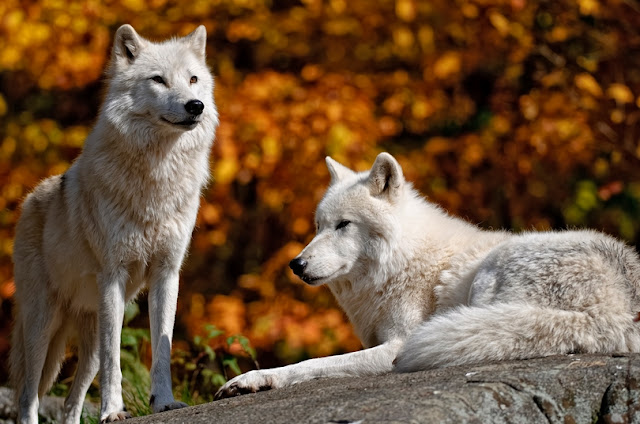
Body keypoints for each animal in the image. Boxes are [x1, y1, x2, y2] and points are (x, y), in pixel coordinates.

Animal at [10, 25, 217, 423]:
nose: (194, 105)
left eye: (193, 79)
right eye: (159, 80)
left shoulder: (167, 274)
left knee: (71, 402)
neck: (156, 178)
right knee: (29, 395)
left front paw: (164, 402)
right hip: (43, 327)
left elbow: (162, 349)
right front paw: (111, 411)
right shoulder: (113, 276)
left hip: (88, 336)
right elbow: (114, 360)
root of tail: (29, 198)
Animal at [216, 152, 640, 398]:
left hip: (489, 276)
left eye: (343, 225)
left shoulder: (395, 345)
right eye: (319, 226)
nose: (296, 264)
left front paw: (256, 379)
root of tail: (616, 313)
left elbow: (314, 364)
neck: (400, 262)